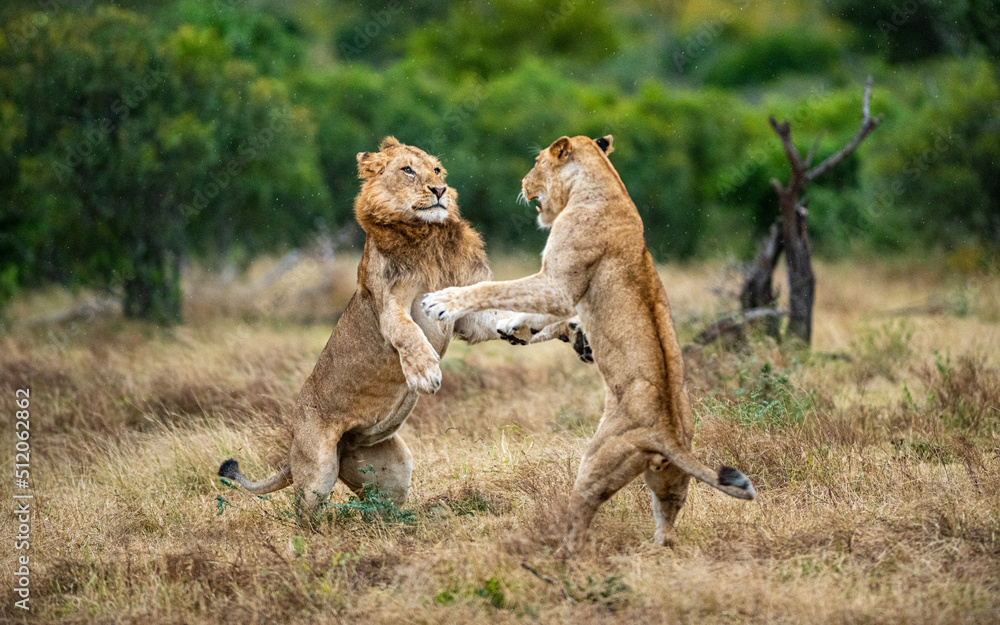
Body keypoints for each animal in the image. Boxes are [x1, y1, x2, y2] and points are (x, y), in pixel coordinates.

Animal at [218, 137, 587, 520]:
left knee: (380, 508)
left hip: (393, 467)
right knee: (304, 513)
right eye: (408, 170)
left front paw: (572, 331)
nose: (439, 189)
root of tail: (295, 447)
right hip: (317, 468)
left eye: (437, 170)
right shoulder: (390, 307)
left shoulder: (467, 318)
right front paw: (426, 373)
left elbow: (509, 317)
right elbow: (408, 334)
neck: (428, 236)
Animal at [422, 134, 756, 552]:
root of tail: (665, 436)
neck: (603, 186)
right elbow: (536, 314)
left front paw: (443, 301)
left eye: (536, 162)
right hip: (668, 478)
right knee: (668, 522)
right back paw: (654, 550)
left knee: (579, 519)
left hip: (595, 463)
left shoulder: (557, 284)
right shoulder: (561, 292)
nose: (523, 183)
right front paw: (513, 326)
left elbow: (495, 288)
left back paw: (559, 552)